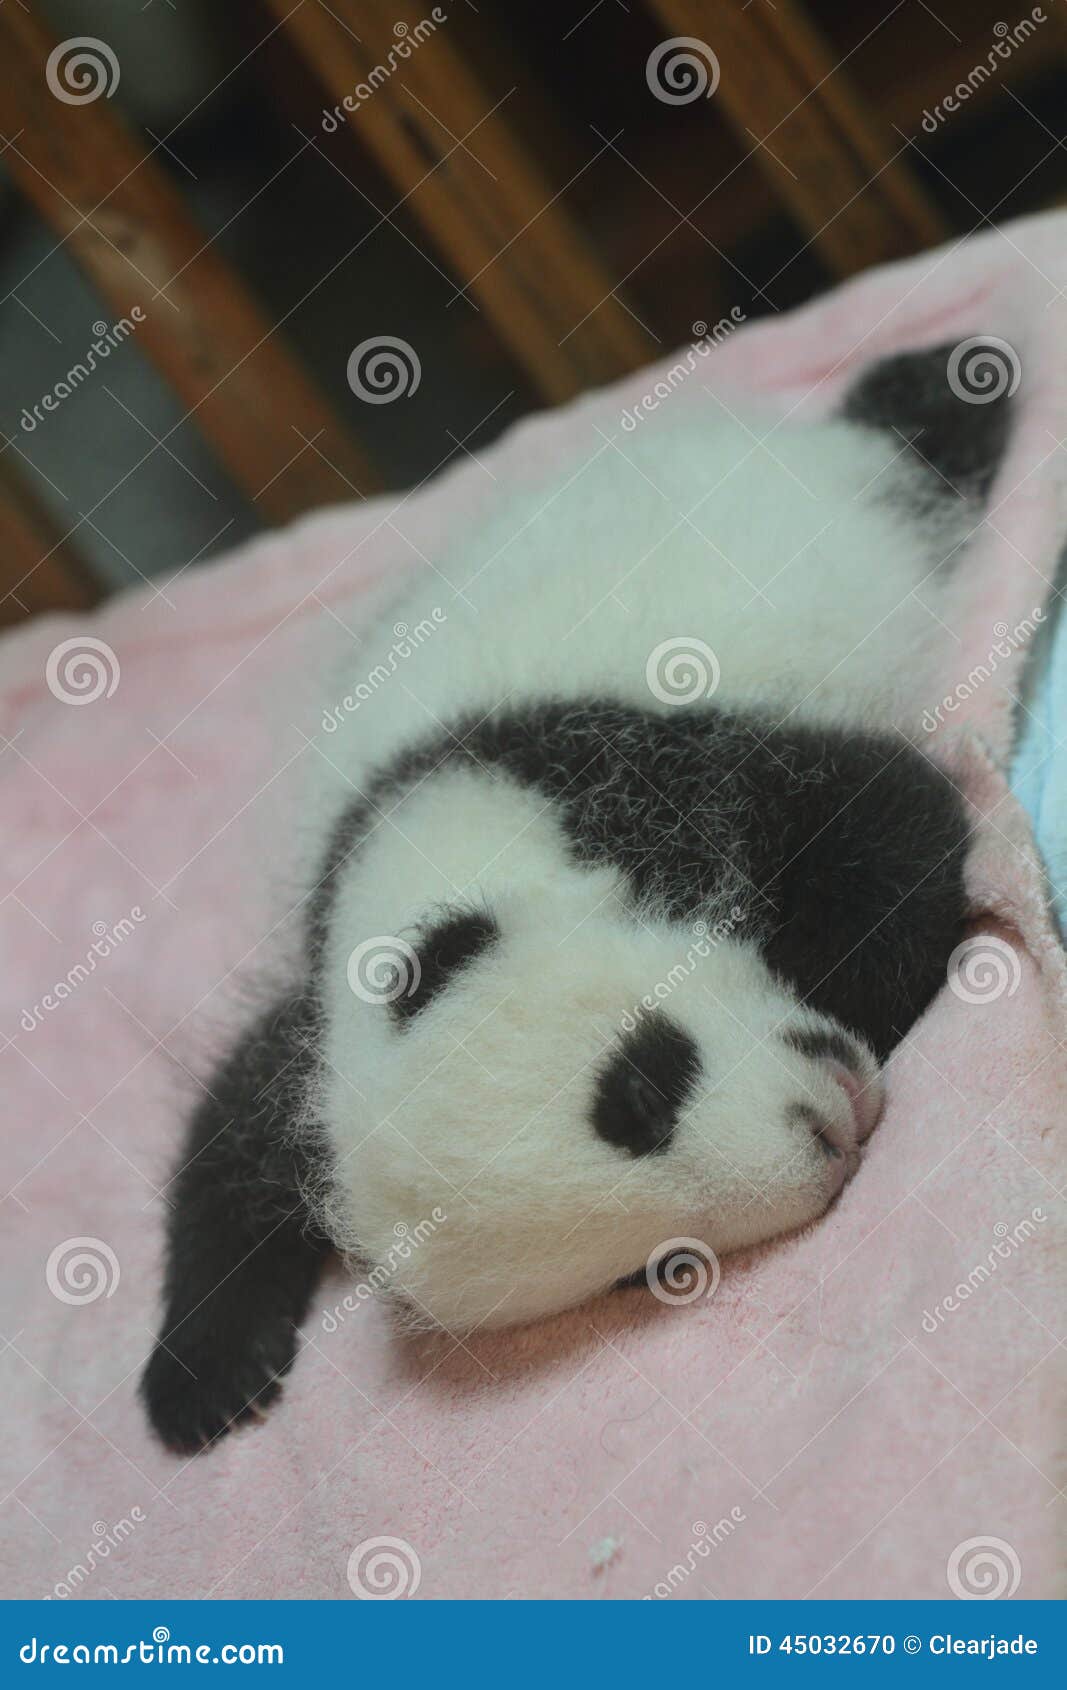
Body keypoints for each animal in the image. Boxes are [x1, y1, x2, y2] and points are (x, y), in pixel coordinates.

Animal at [142, 344, 1012, 1453]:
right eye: (655, 1267)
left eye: (644, 1080)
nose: (825, 1138)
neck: (437, 861)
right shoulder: (321, 1026)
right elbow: (234, 1126)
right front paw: (207, 1378)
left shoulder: (626, 771)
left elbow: (889, 821)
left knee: (922, 436)